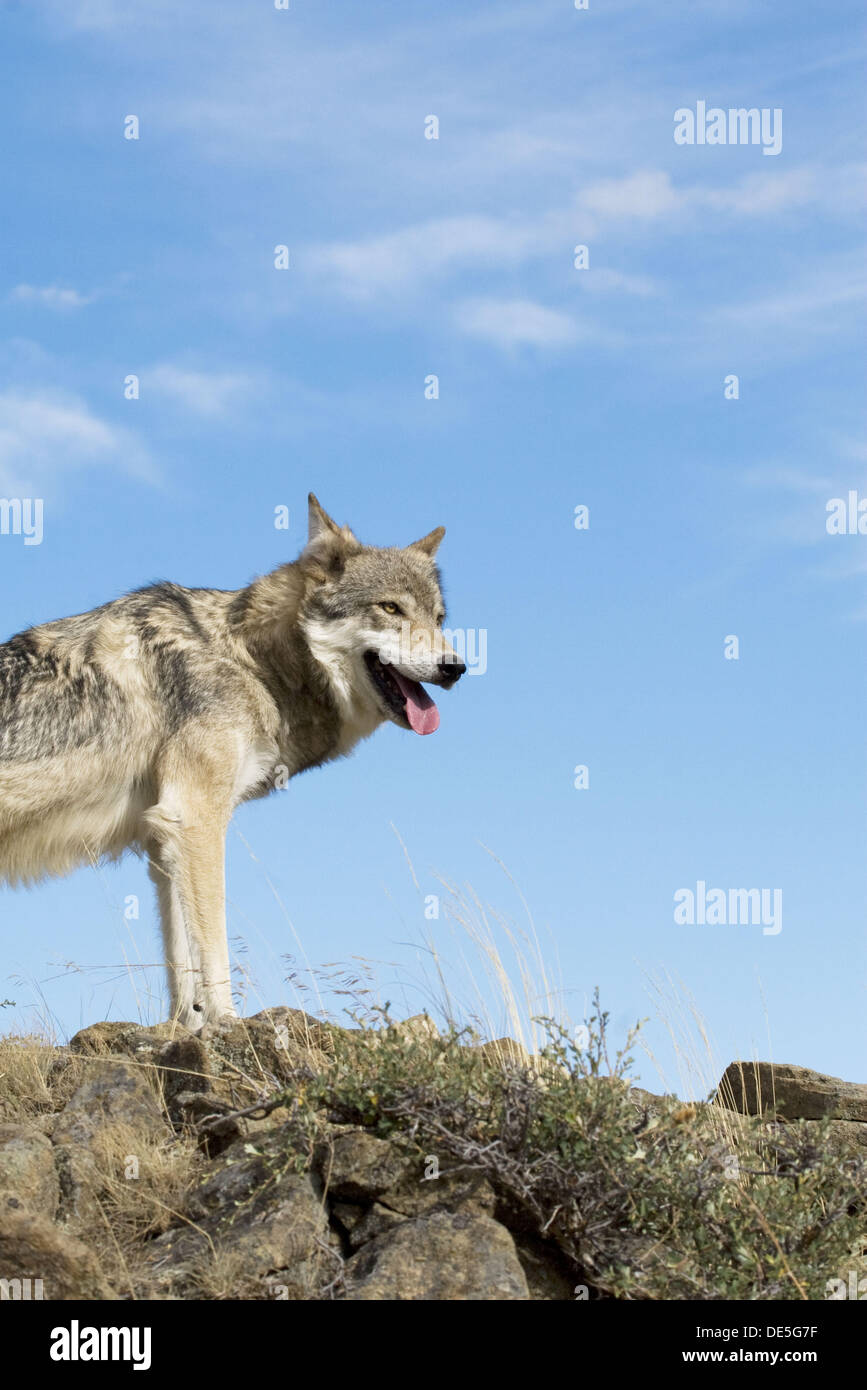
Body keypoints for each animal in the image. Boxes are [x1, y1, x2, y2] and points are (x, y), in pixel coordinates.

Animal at [0, 495, 464, 1030]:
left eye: (438, 618)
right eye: (390, 607)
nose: (457, 667)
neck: (249, 660)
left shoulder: (163, 837)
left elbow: (181, 957)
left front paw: (188, 1026)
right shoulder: (195, 818)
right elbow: (213, 942)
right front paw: (227, 1020)